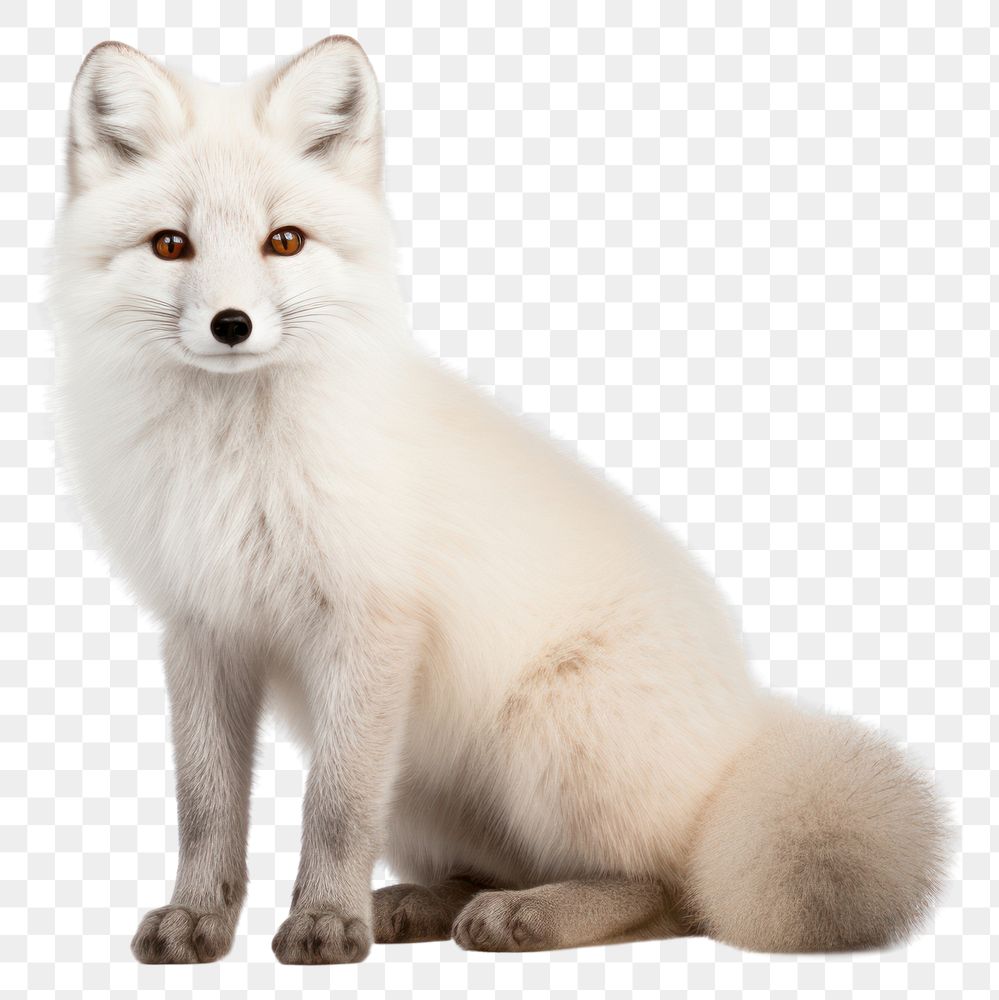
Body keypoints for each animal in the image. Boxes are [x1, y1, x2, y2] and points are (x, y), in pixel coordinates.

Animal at [48, 36, 949, 965]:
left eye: (284, 241)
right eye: (171, 245)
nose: (232, 324)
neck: (234, 463)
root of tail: (737, 741)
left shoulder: (369, 625)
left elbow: (333, 805)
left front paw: (326, 922)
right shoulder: (203, 626)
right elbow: (205, 806)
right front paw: (198, 917)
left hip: (550, 748)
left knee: (670, 893)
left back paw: (524, 917)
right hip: (429, 794)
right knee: (511, 867)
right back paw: (422, 906)